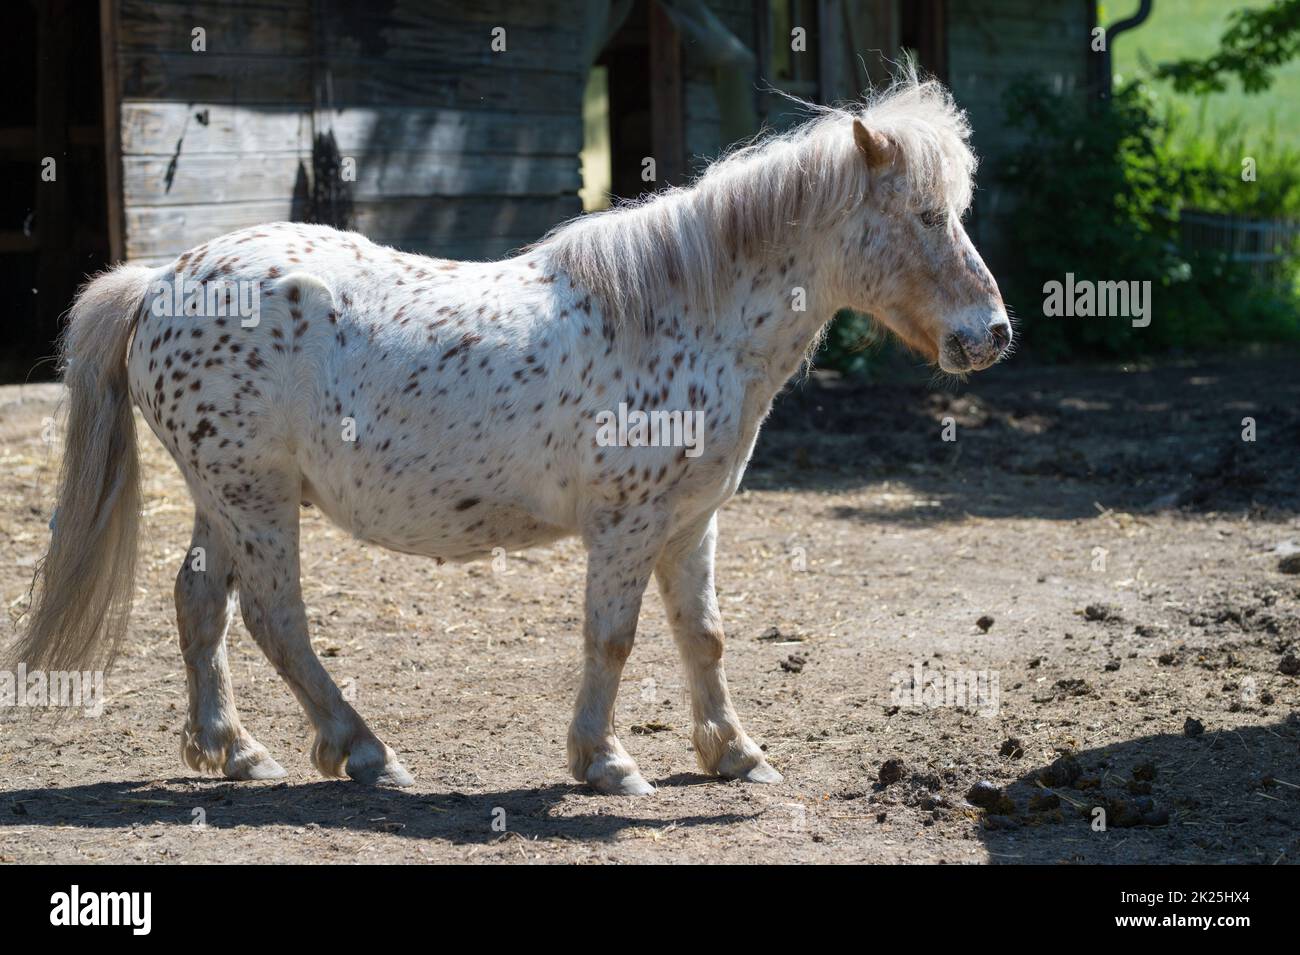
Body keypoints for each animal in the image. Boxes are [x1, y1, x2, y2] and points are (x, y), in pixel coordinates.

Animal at [11, 74, 1011, 795]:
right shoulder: (626, 526)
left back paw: (238, 749)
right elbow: (613, 638)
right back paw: (362, 750)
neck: (683, 315)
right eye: (926, 215)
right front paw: (606, 762)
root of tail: (160, 280)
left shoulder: (693, 522)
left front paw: (735, 752)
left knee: (200, 604)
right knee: (273, 617)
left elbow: (704, 636)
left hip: (227, 496)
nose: (992, 333)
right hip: (252, 498)